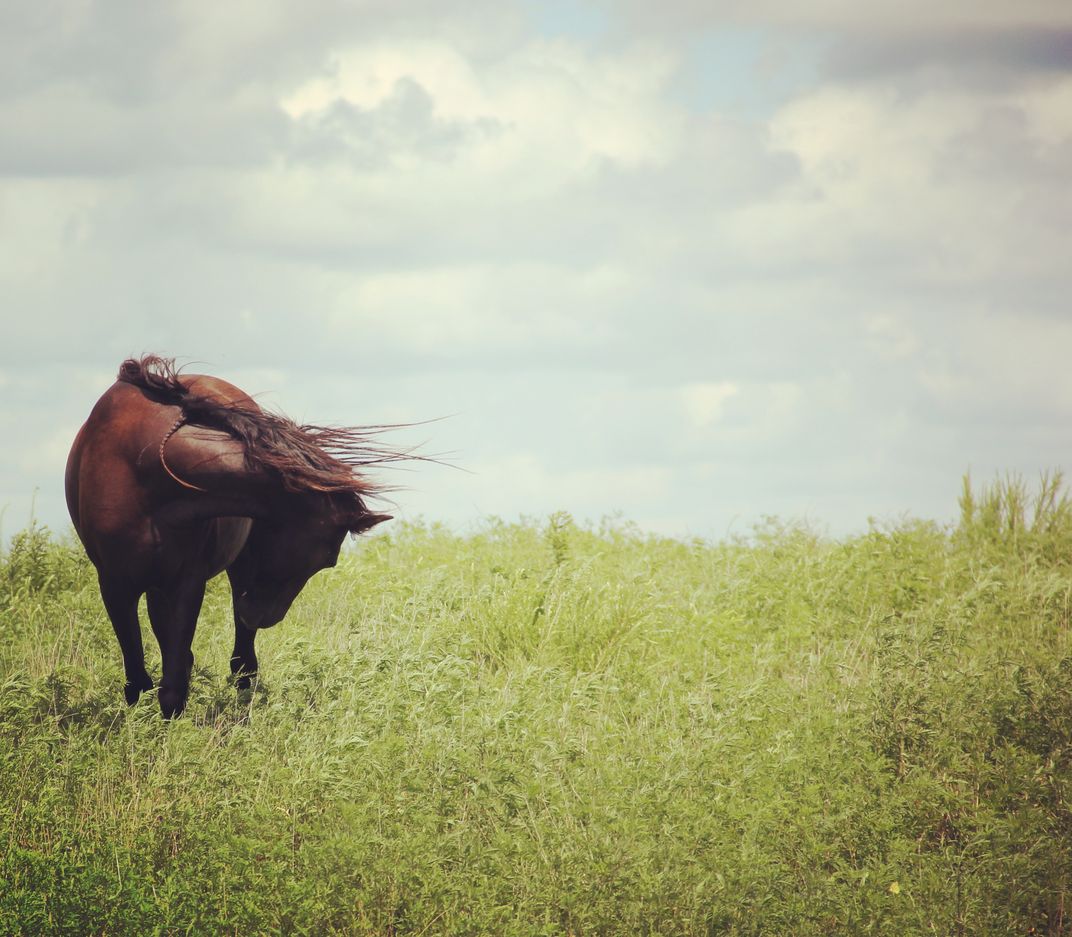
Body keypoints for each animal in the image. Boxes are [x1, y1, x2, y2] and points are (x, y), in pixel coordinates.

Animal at [65, 355, 399, 718]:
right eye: (327, 559)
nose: (261, 616)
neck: (143, 470)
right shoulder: (115, 586)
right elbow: (138, 679)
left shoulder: (187, 582)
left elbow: (172, 682)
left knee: (239, 660)